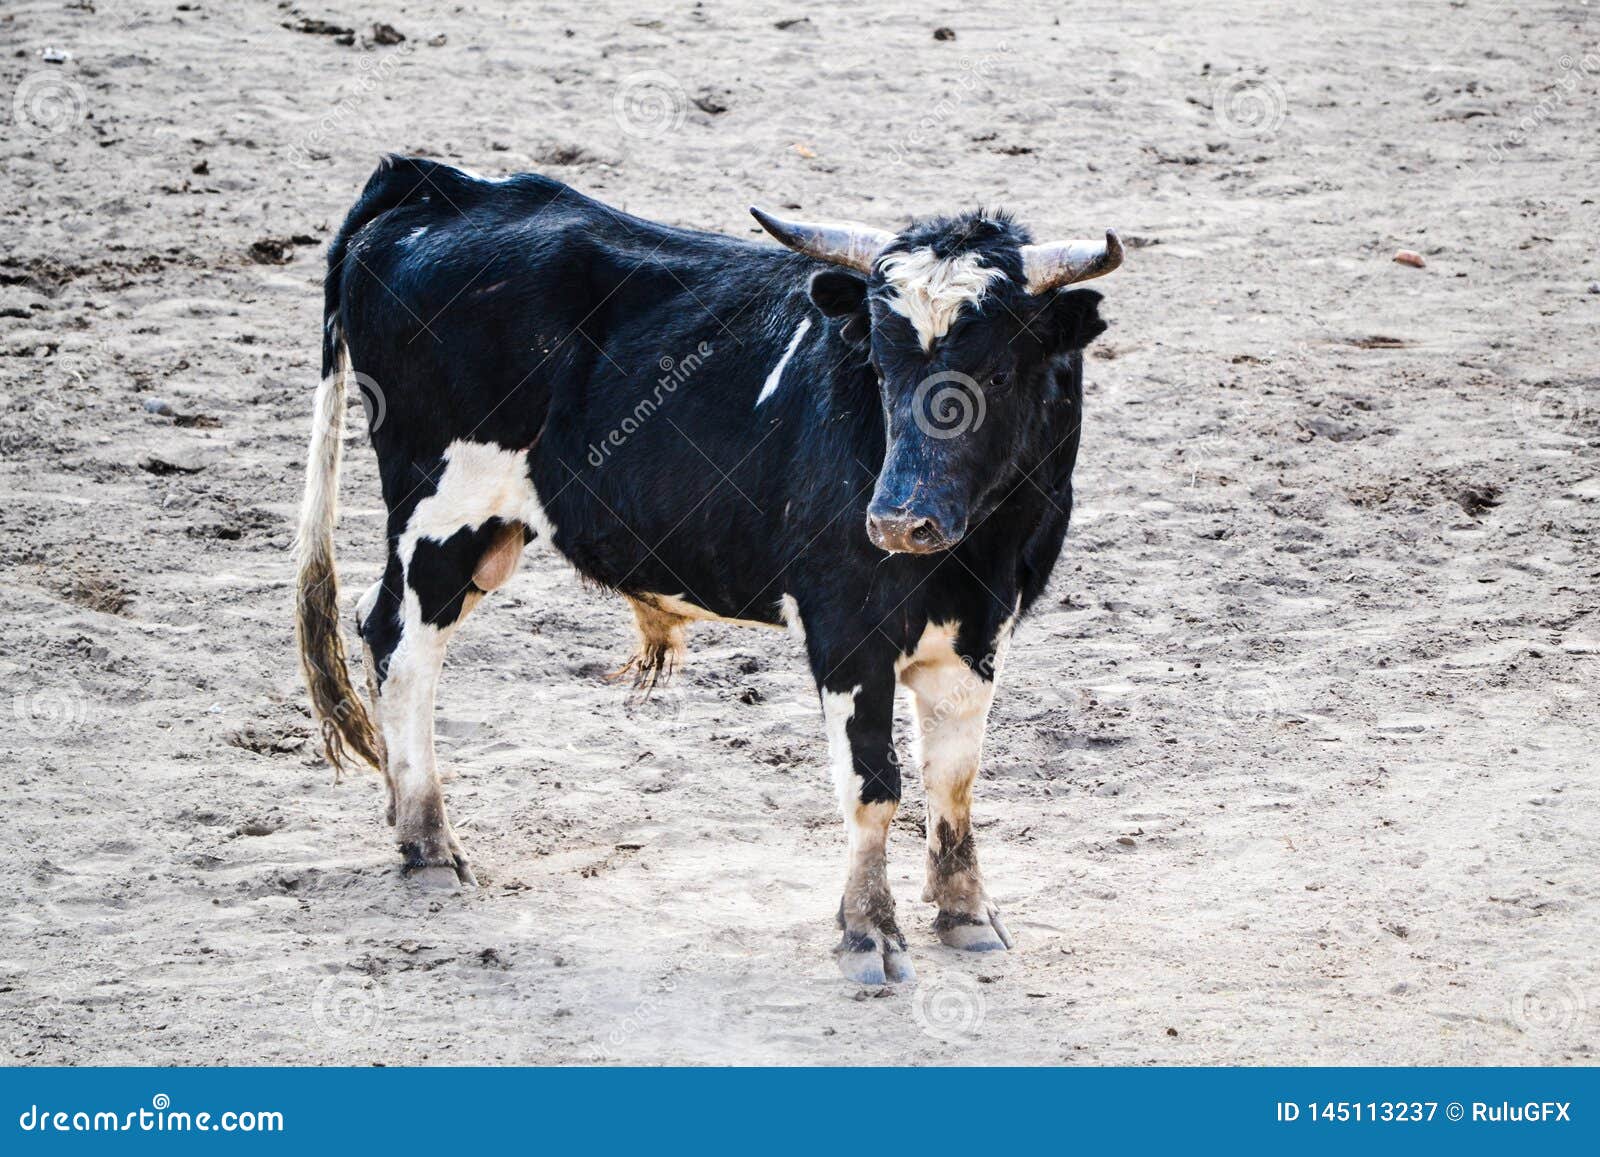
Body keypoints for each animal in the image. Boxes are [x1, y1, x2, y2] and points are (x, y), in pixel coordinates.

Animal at [294, 155, 1122, 984]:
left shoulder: (983, 627)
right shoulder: (845, 626)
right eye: (881, 368)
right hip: (440, 515)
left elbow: (954, 775)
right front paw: (868, 931)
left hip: (487, 534)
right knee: (402, 648)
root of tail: (438, 188)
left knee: (380, 626)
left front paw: (966, 913)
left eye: (998, 372)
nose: (897, 520)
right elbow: (873, 784)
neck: (974, 553)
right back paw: (430, 844)